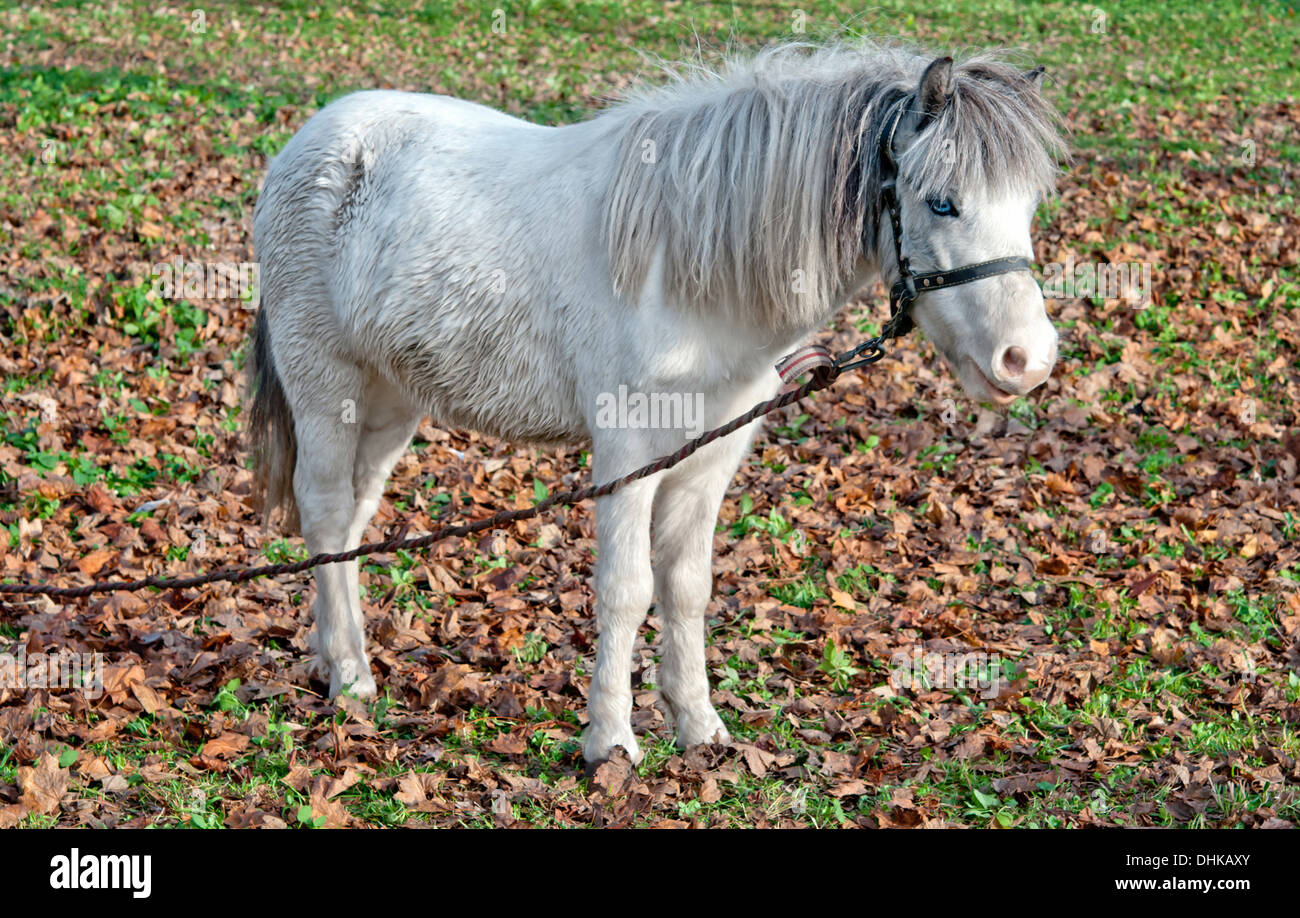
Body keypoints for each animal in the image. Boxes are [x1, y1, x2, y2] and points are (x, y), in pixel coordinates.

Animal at [247, 41, 1066, 765]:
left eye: (1027, 205)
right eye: (943, 203)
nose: (1026, 361)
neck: (691, 268)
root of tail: (317, 140)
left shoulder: (709, 457)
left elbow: (687, 587)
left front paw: (698, 725)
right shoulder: (627, 457)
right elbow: (626, 590)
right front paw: (610, 740)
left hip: (392, 401)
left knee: (352, 522)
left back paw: (335, 657)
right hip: (326, 387)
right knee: (325, 510)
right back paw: (351, 678)